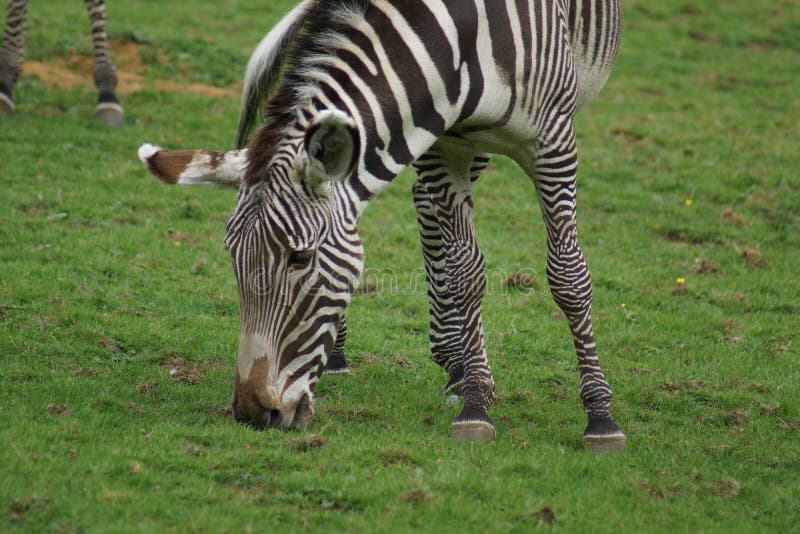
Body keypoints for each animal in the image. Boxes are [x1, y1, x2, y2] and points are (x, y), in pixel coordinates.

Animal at [140, 0, 626, 451]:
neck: (459, 34)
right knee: (426, 207)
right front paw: (477, 401)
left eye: (300, 257)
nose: (253, 411)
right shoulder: (443, 140)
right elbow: (466, 273)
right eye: (233, 258)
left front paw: (600, 416)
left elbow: (567, 276)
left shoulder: (551, 143)